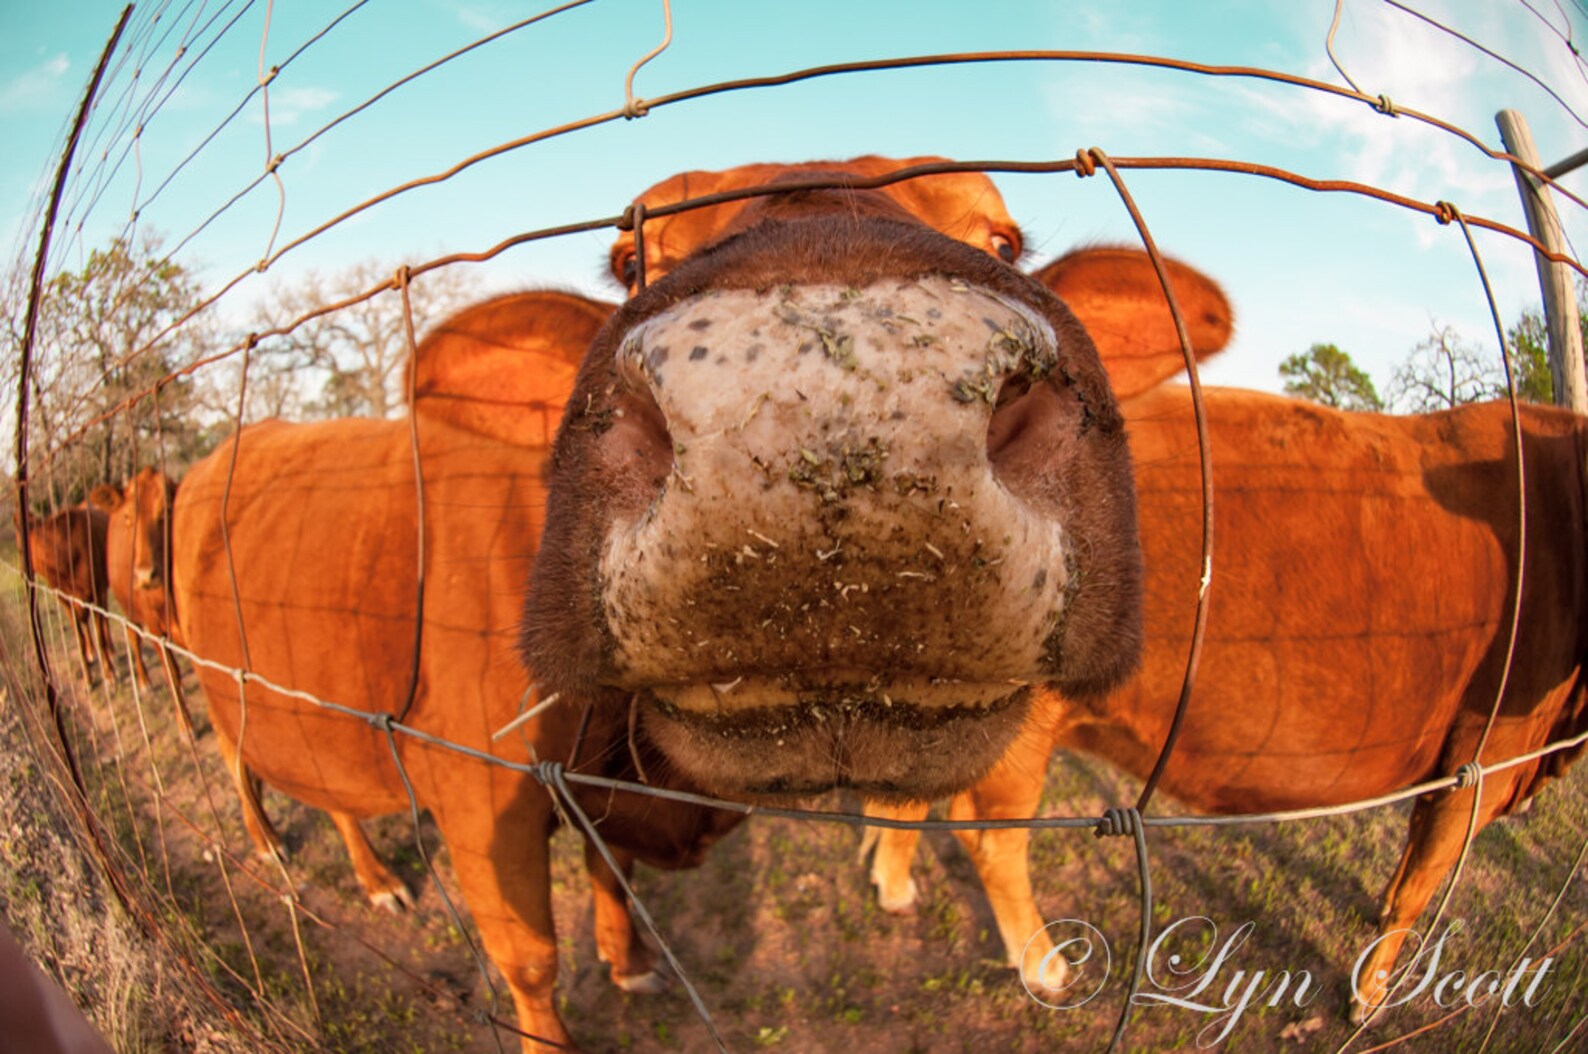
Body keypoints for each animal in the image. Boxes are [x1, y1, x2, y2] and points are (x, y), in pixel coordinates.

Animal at [16, 501, 116, 683]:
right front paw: (88, 678)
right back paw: (91, 652)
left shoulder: (96, 591)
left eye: (20, 549)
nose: (21, 572)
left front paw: (109, 673)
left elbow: (99, 635)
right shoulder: (63, 598)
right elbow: (79, 636)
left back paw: (110, 650)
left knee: (103, 618)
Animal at [91, 468, 194, 737]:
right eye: (128, 517)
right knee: (133, 638)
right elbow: (172, 673)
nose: (145, 575)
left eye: (166, 510)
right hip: (127, 608)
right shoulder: (155, 630)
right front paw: (185, 724)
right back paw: (145, 682)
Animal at [861, 262, 1588, 1023]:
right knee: (987, 837)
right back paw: (1046, 965)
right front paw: (1371, 995)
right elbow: (1419, 887)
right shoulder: (1487, 753)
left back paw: (896, 883)